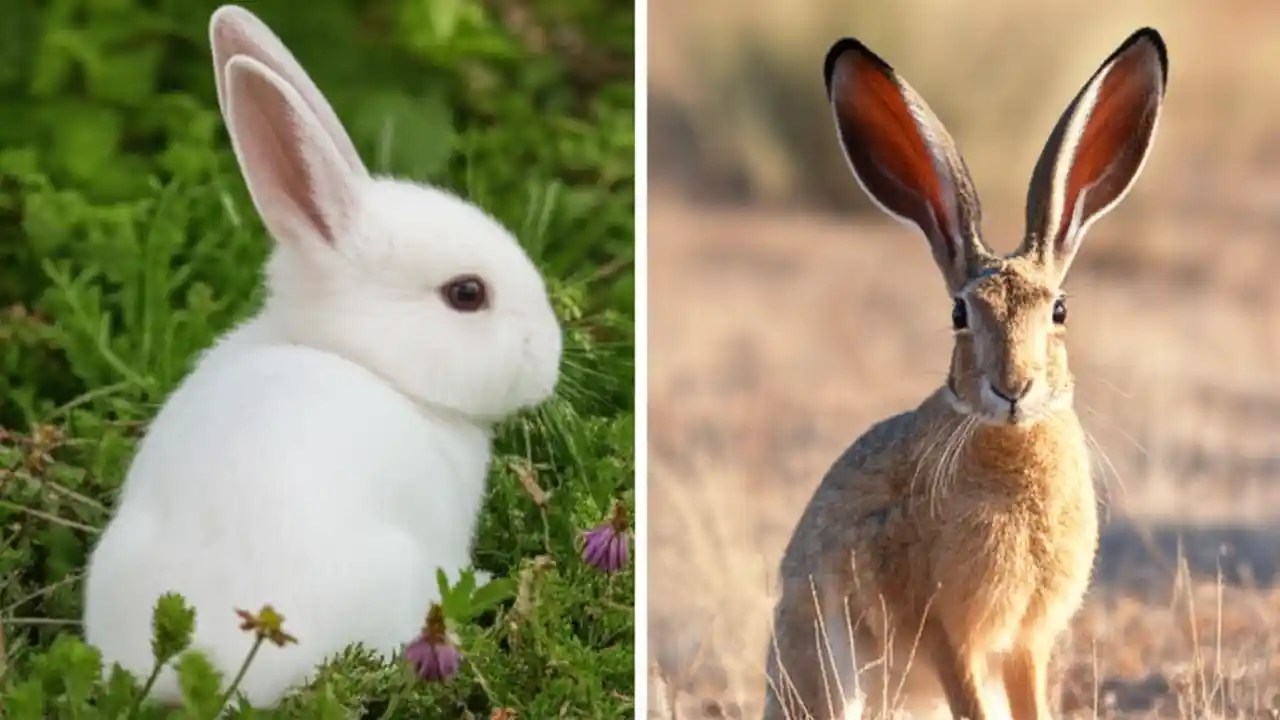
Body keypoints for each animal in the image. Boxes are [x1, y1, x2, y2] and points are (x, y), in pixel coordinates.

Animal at [763, 28, 1167, 720]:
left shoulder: (1026, 643)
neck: (1010, 443)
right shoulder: (947, 634)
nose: (1014, 388)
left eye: (1059, 310)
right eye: (959, 314)